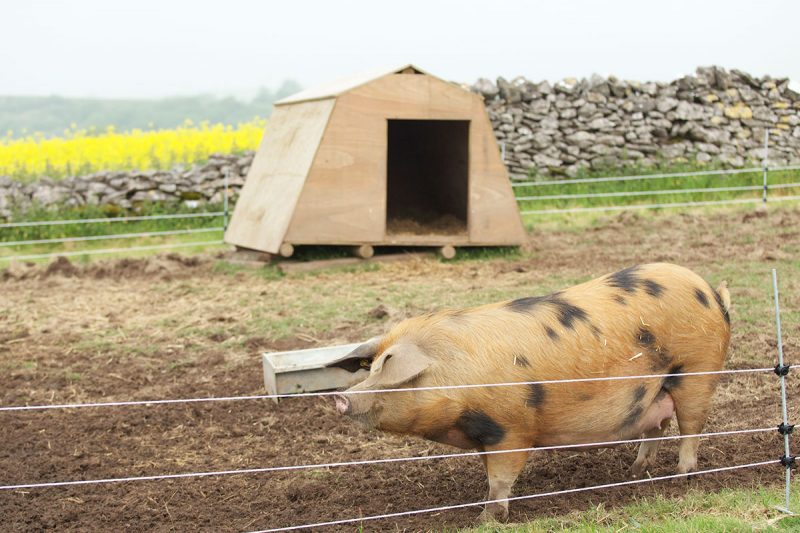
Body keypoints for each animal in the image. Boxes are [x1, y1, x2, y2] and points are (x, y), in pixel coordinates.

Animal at [331, 263, 731, 522]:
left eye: (388, 372)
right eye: (370, 369)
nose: (341, 397)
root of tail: (712, 292)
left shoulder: (511, 430)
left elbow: (502, 478)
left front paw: (487, 518)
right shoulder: (486, 436)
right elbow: (489, 474)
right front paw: (483, 509)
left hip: (697, 372)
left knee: (691, 427)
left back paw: (680, 478)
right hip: (655, 387)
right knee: (655, 428)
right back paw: (634, 473)